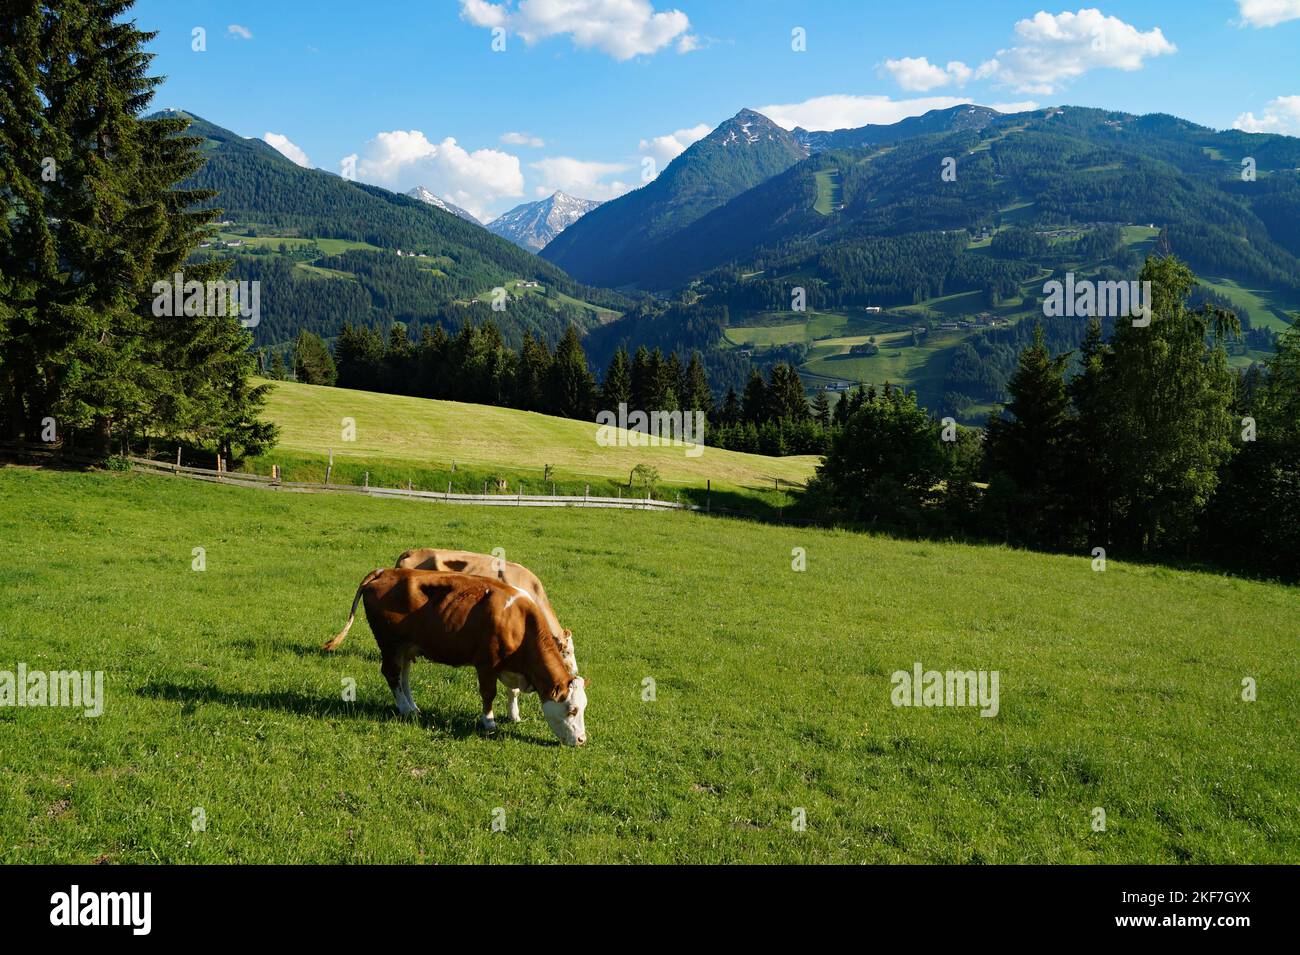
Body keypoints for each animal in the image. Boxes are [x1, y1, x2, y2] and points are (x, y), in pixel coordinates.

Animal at [323, 568, 588, 746]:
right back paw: (404, 708)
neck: (519, 622)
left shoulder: (511, 667)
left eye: (583, 707)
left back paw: (413, 706)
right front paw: (489, 722)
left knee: (403, 676)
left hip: (407, 647)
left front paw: (514, 716)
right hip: (389, 643)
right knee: (391, 674)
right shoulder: (486, 663)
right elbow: (488, 694)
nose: (582, 740)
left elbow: (512, 692)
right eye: (572, 710)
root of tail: (384, 571)